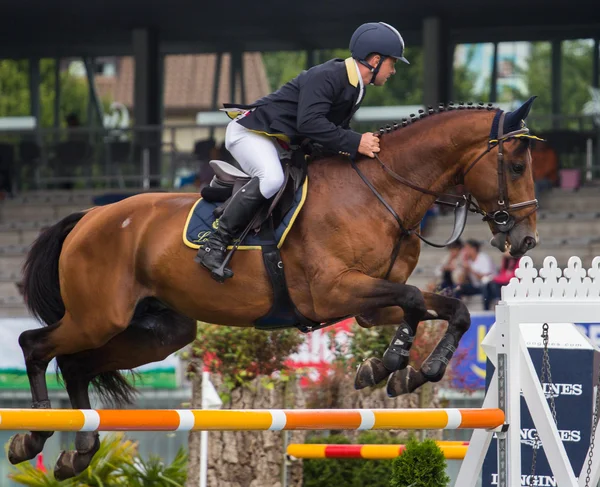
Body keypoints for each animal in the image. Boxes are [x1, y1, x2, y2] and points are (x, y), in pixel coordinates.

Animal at [12, 100, 540, 480]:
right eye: (516, 166)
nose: (525, 241)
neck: (382, 192)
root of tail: (90, 215)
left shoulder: (369, 303)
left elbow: (451, 309)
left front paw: (410, 371)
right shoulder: (334, 292)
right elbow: (413, 302)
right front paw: (390, 364)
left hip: (158, 332)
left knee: (77, 365)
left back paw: (78, 452)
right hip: (98, 317)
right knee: (34, 345)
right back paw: (32, 437)